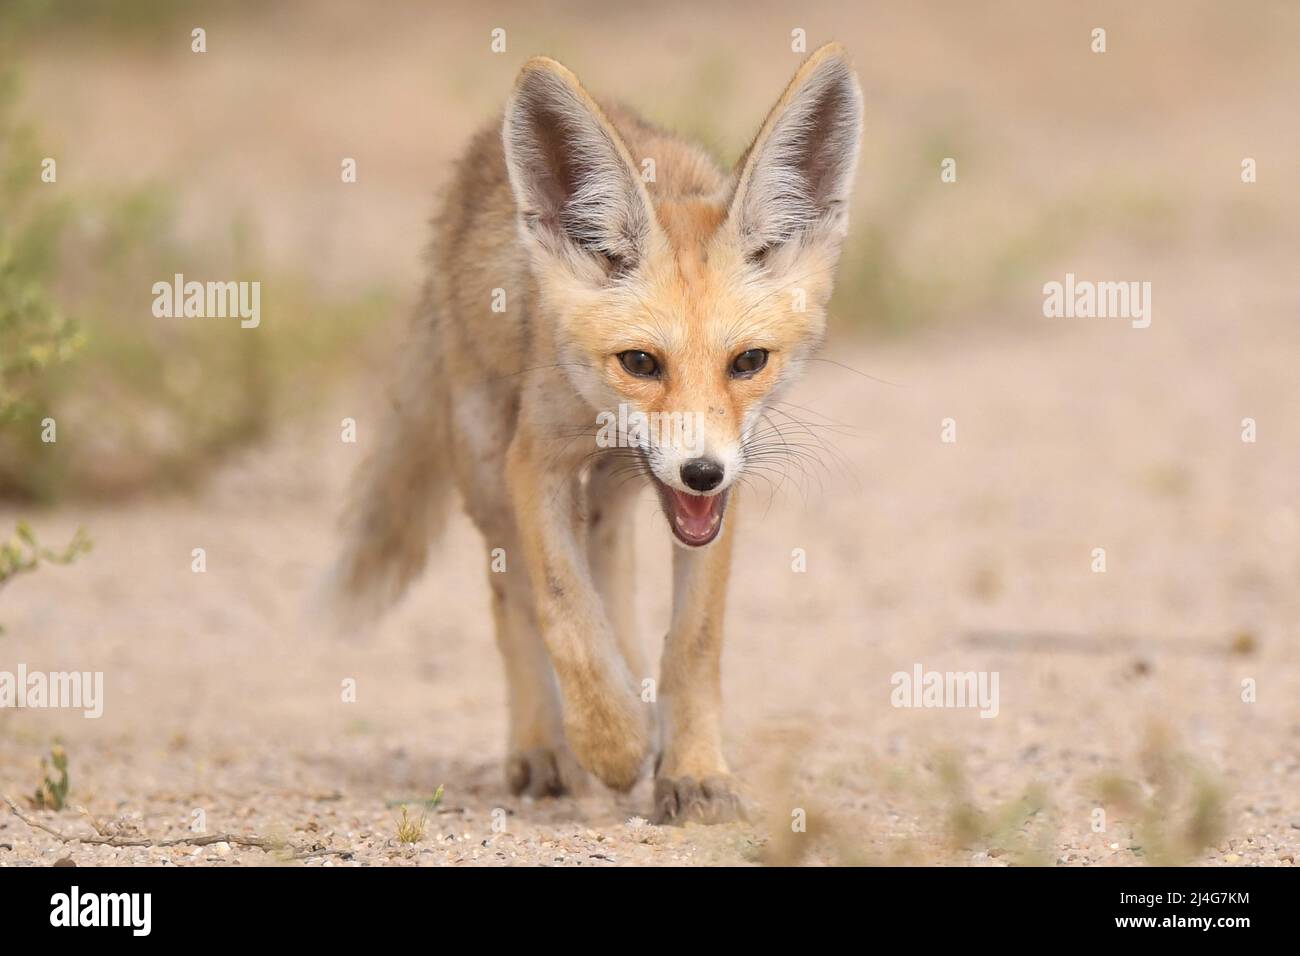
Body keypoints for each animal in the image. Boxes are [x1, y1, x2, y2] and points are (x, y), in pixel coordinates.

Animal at [334, 43, 863, 824]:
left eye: (749, 362)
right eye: (640, 362)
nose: (701, 472)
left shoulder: (719, 495)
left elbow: (694, 640)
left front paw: (693, 768)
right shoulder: (536, 461)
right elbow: (564, 614)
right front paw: (611, 743)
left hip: (614, 490)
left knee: (610, 569)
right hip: (487, 469)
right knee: (514, 599)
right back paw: (544, 747)